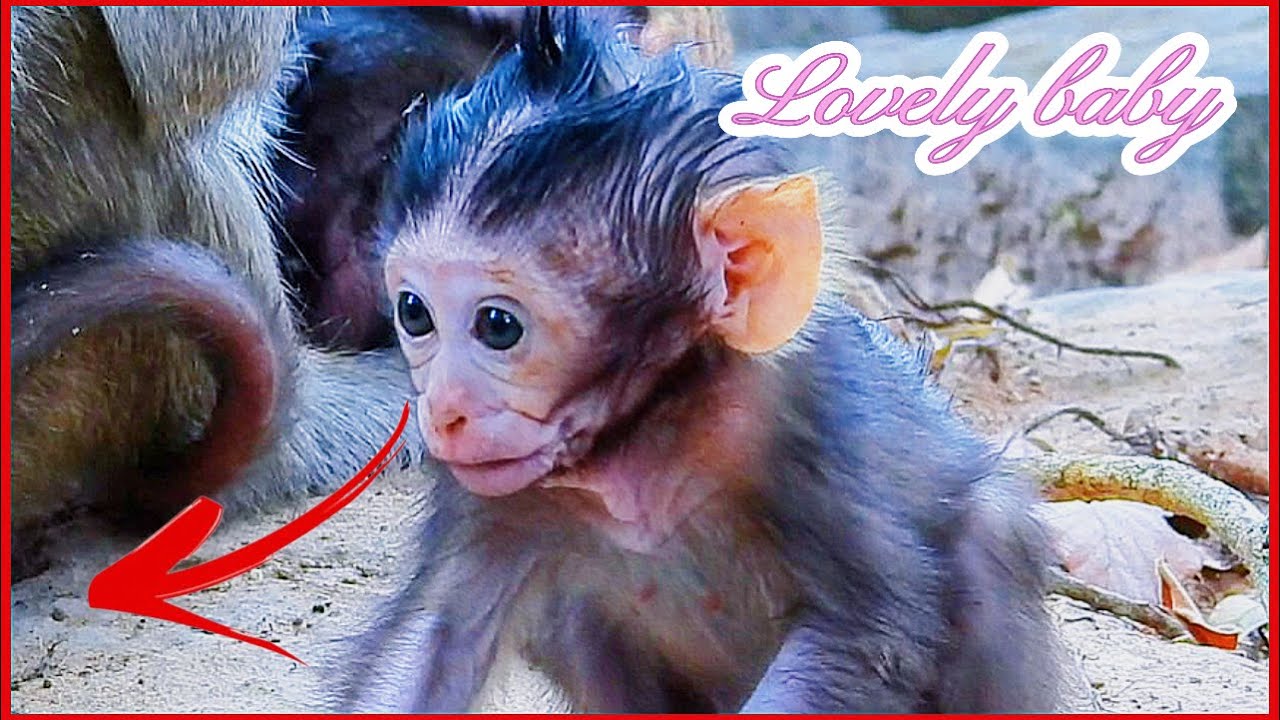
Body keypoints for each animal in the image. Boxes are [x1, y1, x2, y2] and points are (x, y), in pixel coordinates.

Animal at [337, 8, 1059, 713]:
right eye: (415, 314)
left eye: (497, 325)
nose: (444, 412)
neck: (651, 434)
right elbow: (437, 633)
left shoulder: (810, 427)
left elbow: (869, 631)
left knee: (988, 532)